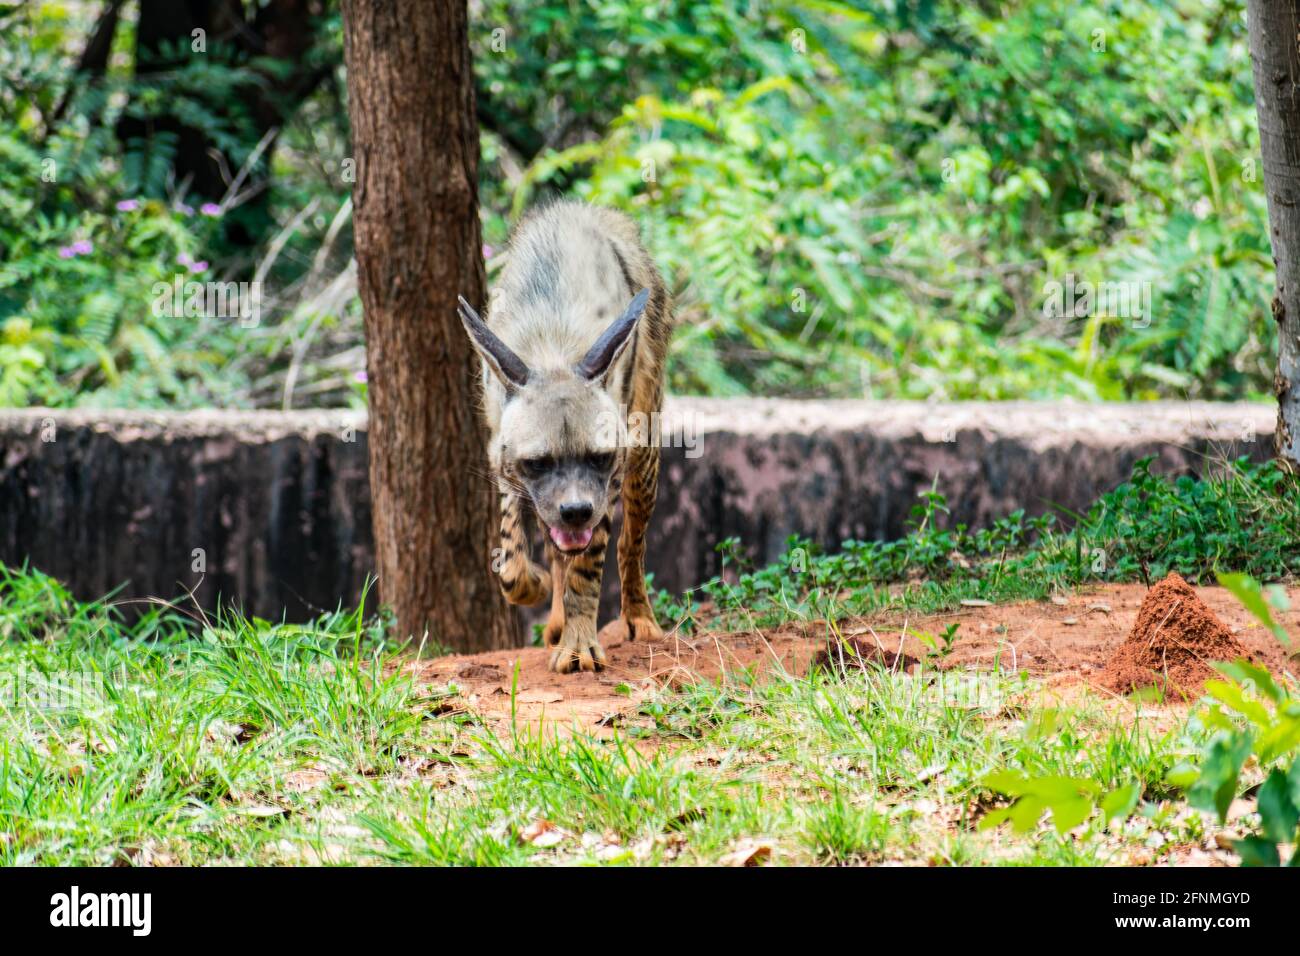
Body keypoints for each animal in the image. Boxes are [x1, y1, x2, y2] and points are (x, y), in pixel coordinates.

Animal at [457, 201, 672, 673]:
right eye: (538, 462)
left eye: (599, 457)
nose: (576, 510)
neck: (552, 345)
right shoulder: (502, 453)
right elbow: (514, 554)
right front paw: (535, 587)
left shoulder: (610, 476)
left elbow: (588, 562)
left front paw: (578, 646)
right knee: (557, 545)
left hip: (645, 444)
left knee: (632, 539)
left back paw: (640, 619)